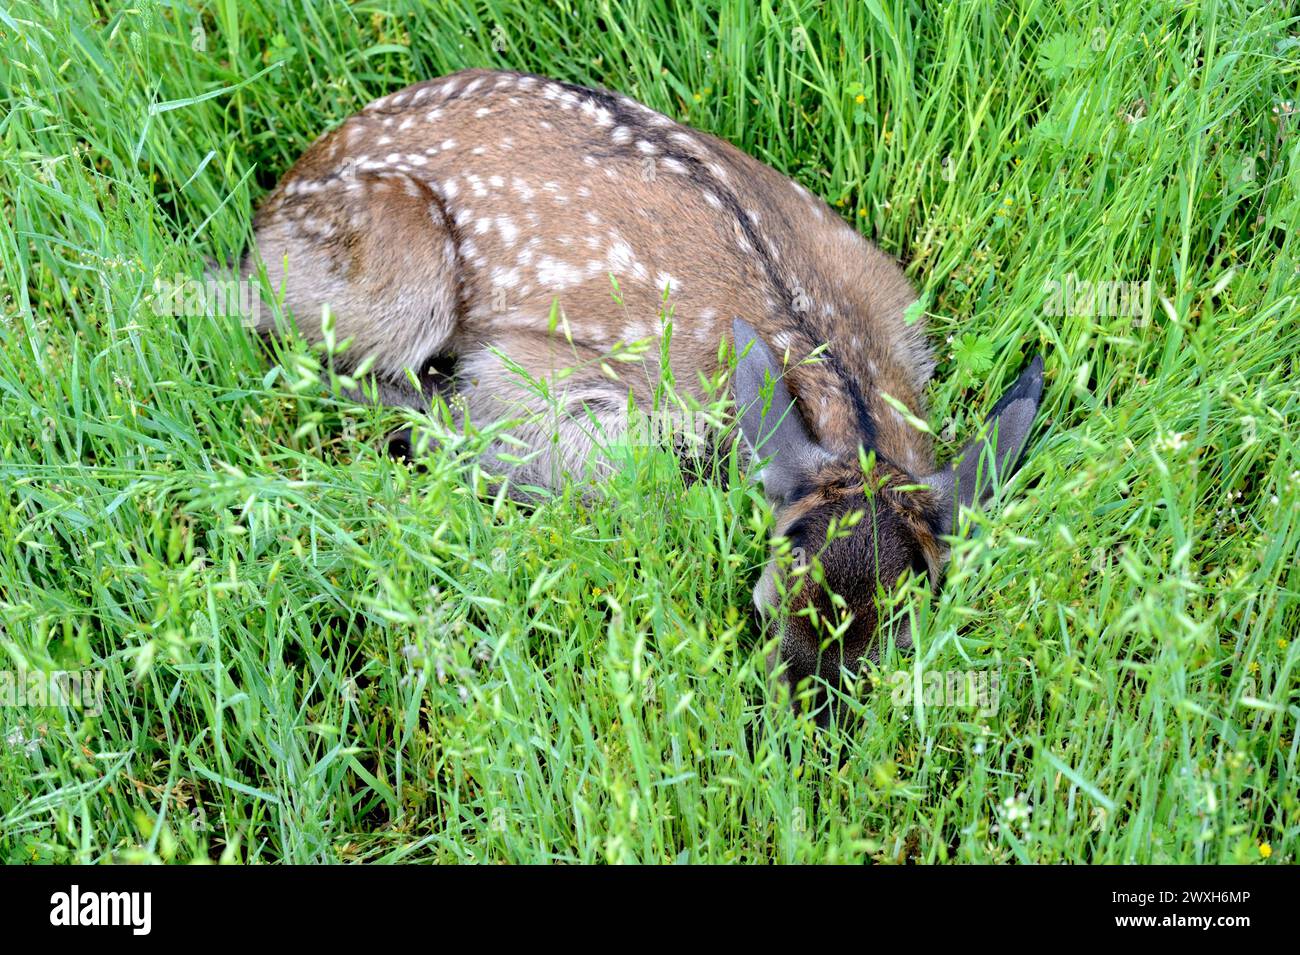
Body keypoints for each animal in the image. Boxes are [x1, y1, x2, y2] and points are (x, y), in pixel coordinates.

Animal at [239, 68, 1045, 722]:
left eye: (898, 646)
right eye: (760, 609)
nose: (797, 727)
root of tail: (268, 217)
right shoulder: (528, 374)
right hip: (403, 280)